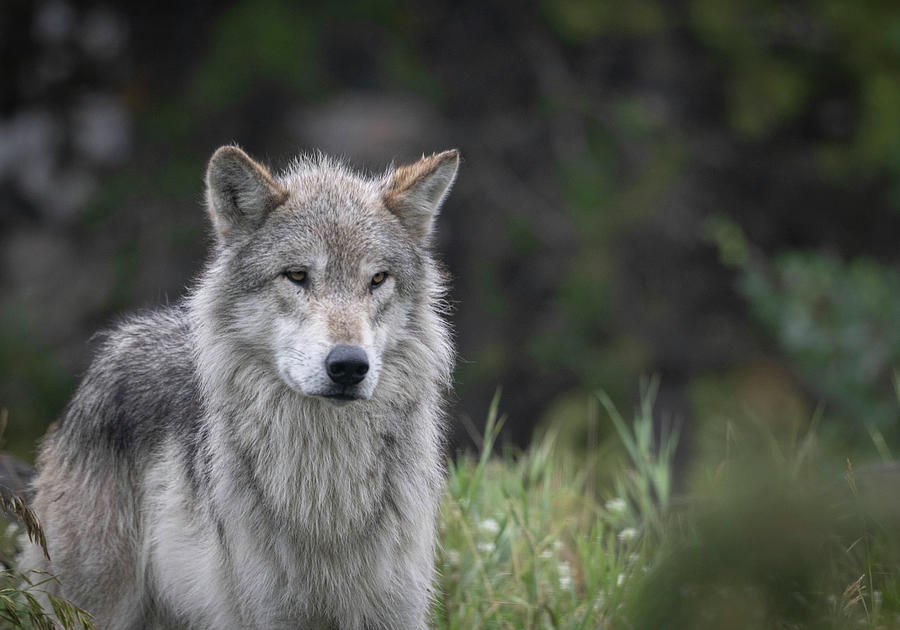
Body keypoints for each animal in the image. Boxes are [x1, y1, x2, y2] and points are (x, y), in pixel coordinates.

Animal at [18, 145, 460, 629]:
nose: (348, 365)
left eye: (377, 279)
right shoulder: (268, 613)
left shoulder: (395, 610)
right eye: (297, 275)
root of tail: (113, 349)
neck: (326, 497)